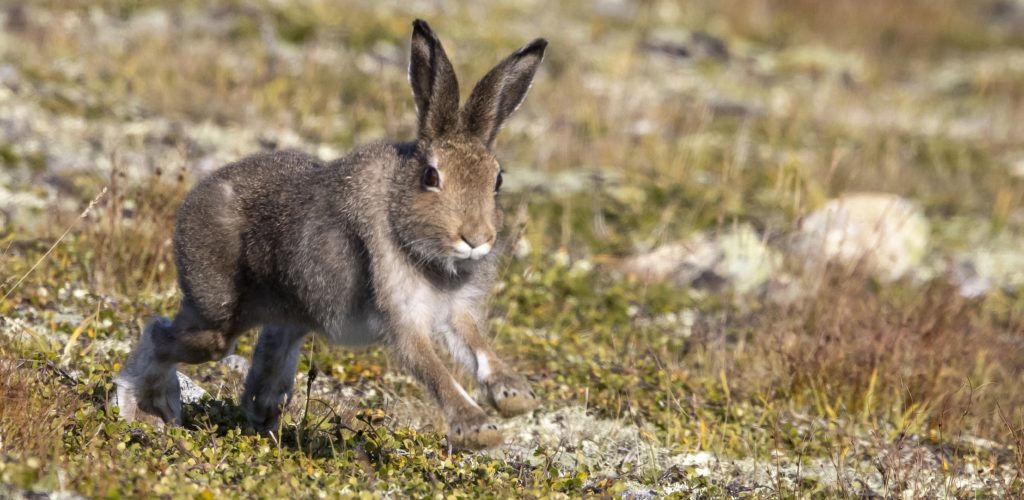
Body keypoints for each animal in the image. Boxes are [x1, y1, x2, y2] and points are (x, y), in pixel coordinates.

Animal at [113, 19, 547, 450]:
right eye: (431, 176)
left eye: (497, 180)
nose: (476, 239)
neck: (400, 216)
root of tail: (194, 198)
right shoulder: (400, 314)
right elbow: (432, 368)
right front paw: (480, 429)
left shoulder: (458, 311)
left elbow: (478, 347)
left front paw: (515, 397)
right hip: (216, 317)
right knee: (160, 333)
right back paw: (145, 411)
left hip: (288, 312)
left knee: (269, 356)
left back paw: (264, 423)